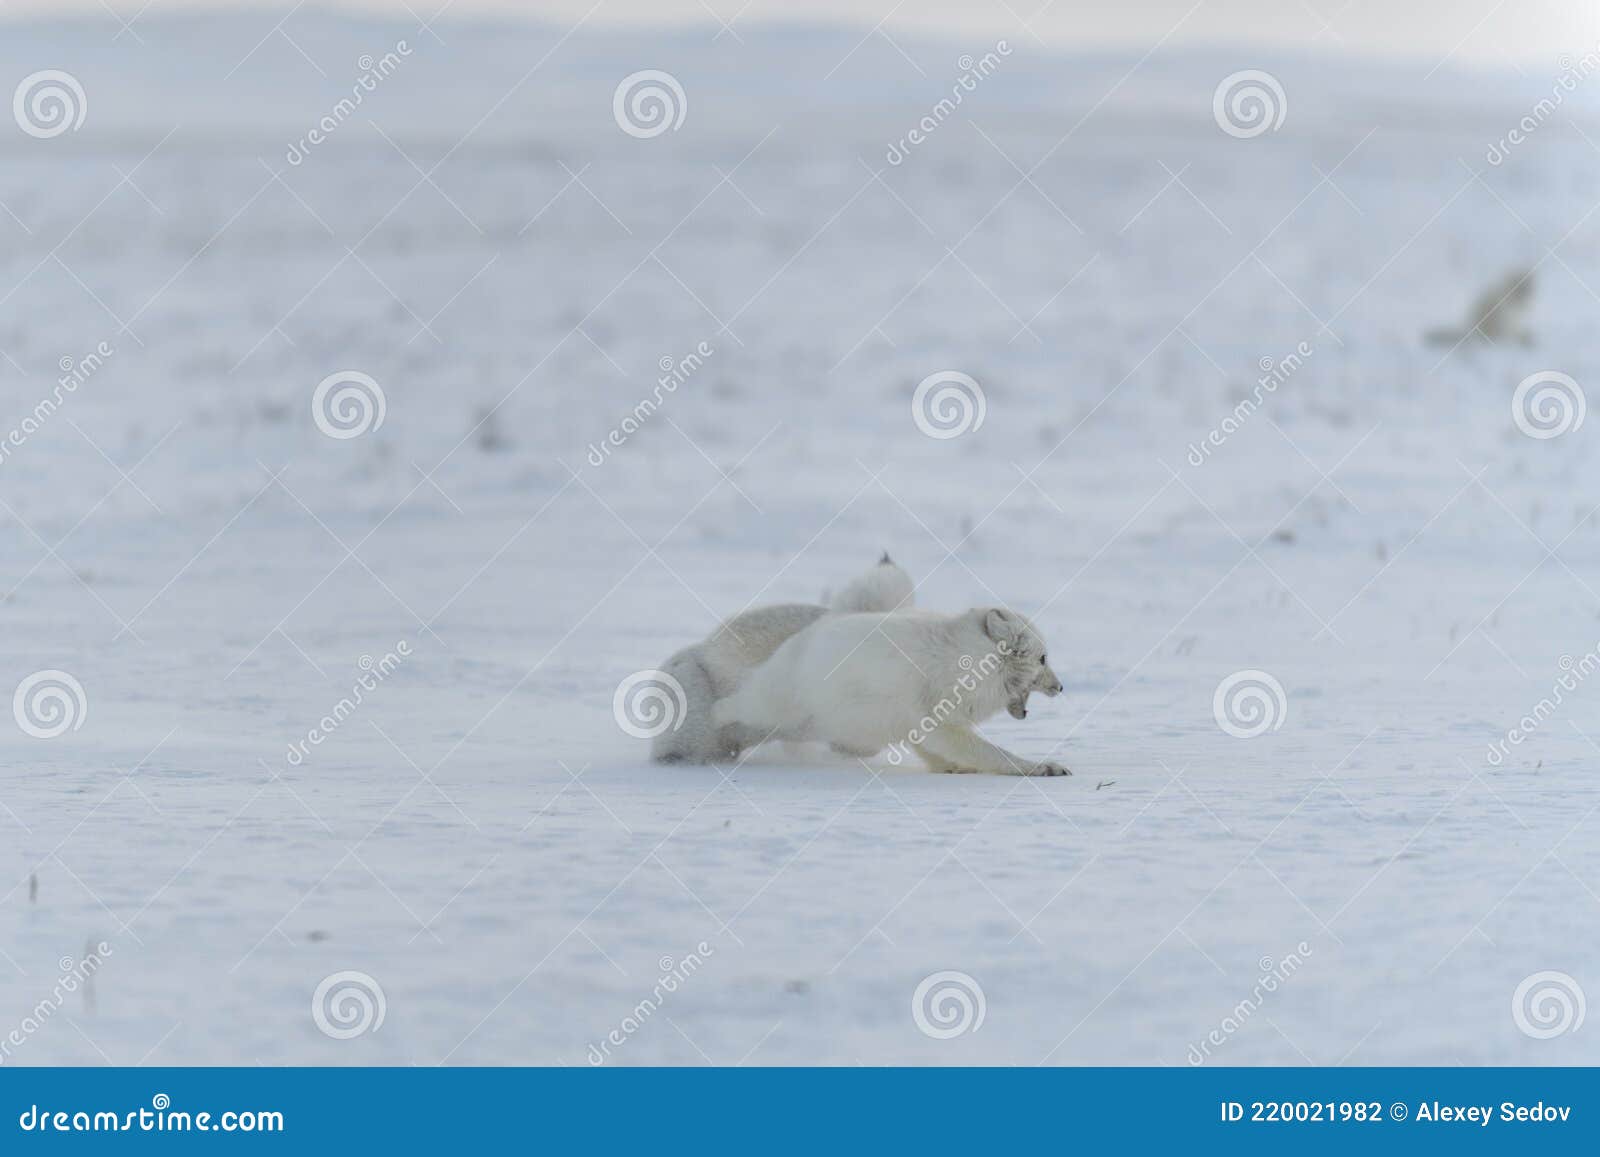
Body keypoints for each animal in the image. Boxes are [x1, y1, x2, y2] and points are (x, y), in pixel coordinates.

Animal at [711, 606, 1070, 776]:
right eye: (1042, 659)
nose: (1061, 686)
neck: (969, 663)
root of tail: (797, 642)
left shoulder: (925, 727)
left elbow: (944, 754)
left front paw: (956, 768)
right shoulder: (941, 723)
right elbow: (993, 753)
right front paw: (1039, 768)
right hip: (771, 707)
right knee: (732, 706)